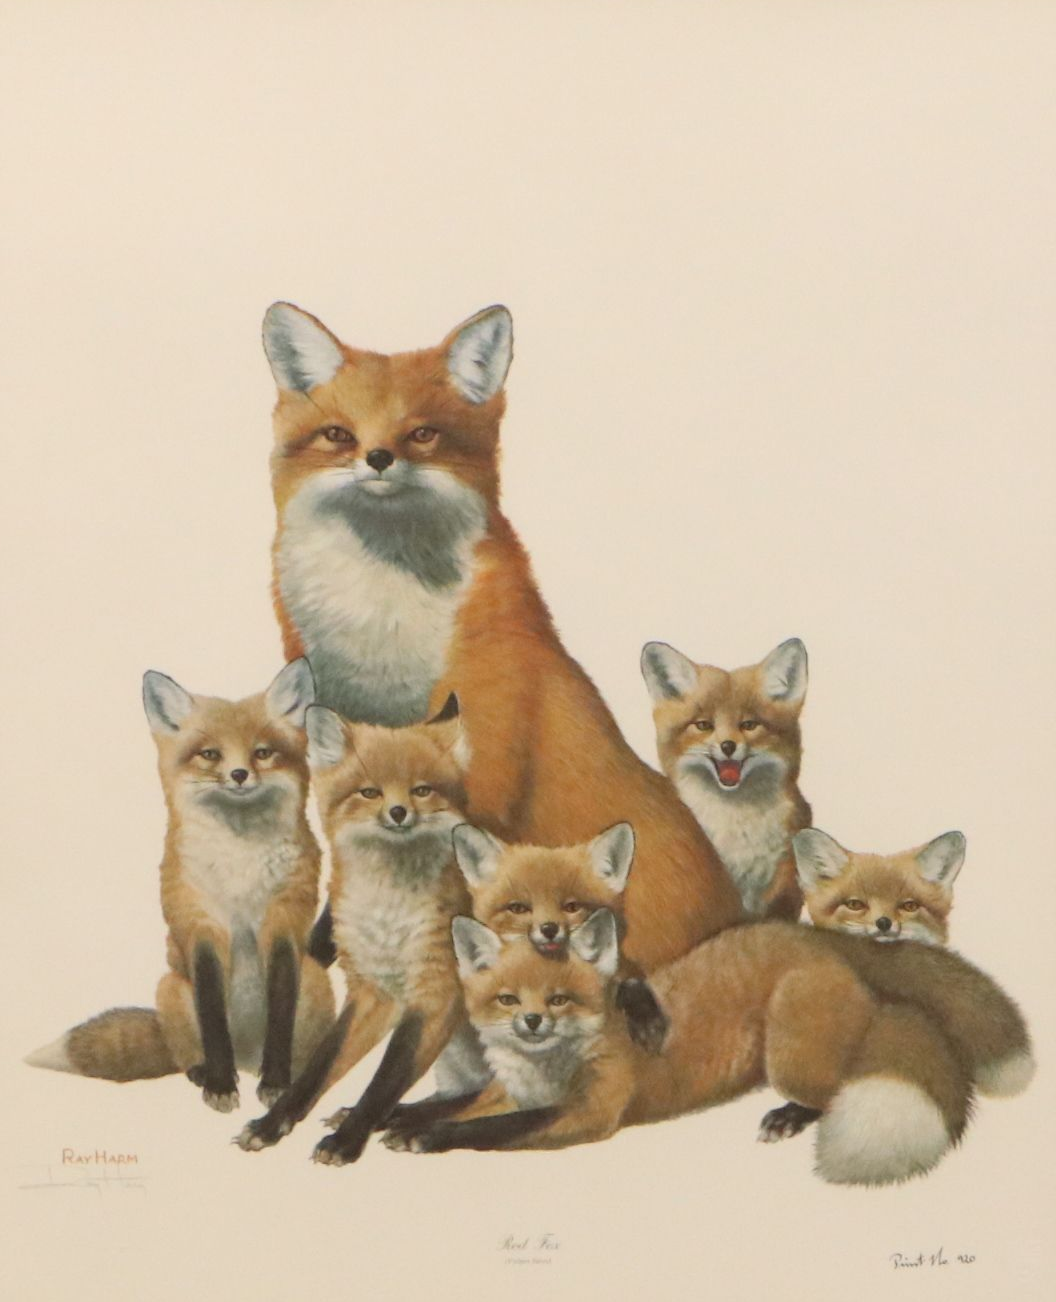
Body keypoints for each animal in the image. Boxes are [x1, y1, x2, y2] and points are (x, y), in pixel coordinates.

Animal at [25, 661, 335, 1110]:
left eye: (262, 752)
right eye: (210, 754)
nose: (239, 775)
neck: (239, 867)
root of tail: (247, 1057)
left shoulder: (285, 922)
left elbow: (280, 1014)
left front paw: (276, 1082)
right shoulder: (199, 925)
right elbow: (212, 1016)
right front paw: (220, 1084)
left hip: (314, 979)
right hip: (170, 986)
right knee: (188, 1054)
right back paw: (207, 1072)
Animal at [235, 697, 480, 1165]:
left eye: (421, 790)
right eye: (370, 792)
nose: (398, 813)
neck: (386, 913)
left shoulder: (436, 993)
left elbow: (385, 1080)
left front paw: (347, 1142)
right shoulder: (373, 993)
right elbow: (319, 1068)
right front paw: (274, 1123)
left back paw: (415, 1129)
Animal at [381, 909, 1034, 1186]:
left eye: (561, 999)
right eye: (508, 999)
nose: (533, 1022)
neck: (545, 1072)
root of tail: (823, 942)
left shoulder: (591, 1113)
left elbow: (488, 1131)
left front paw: (427, 1139)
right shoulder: (510, 1090)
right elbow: (457, 1106)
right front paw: (392, 1119)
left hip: (789, 1054)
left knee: (831, 1089)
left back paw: (788, 1117)